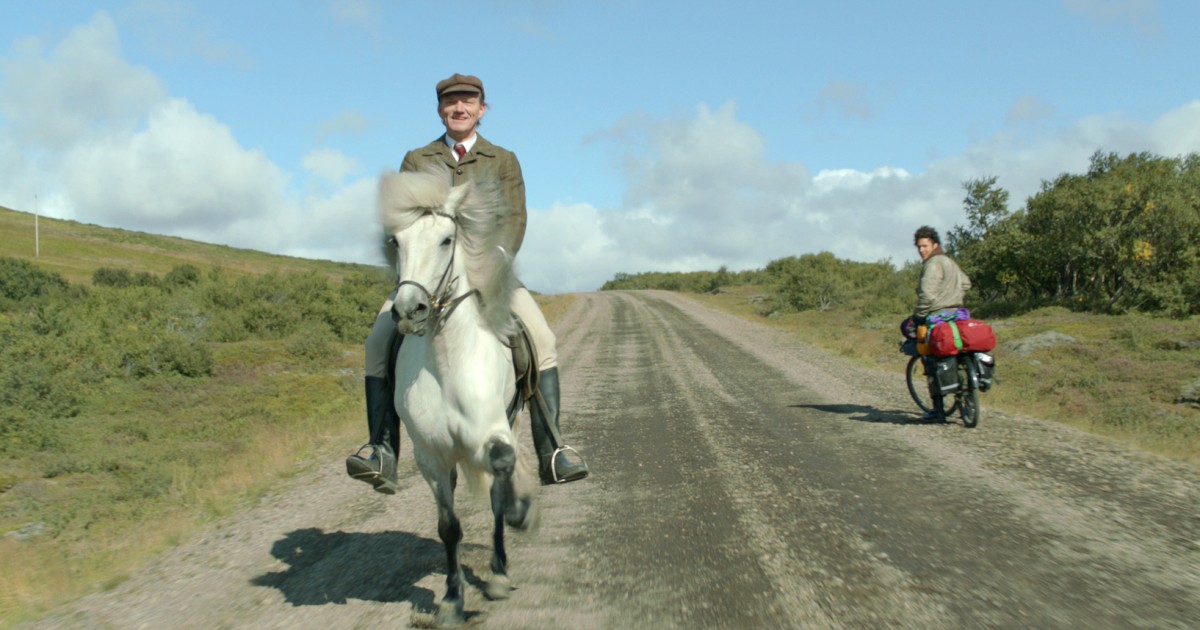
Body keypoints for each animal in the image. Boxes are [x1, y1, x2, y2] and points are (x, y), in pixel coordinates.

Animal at [379, 169, 538, 626]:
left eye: (446, 239)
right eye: (396, 241)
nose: (409, 310)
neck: (448, 362)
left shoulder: (495, 431)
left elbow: (501, 479)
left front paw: (521, 514)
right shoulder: (431, 457)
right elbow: (448, 526)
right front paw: (451, 600)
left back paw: (500, 570)